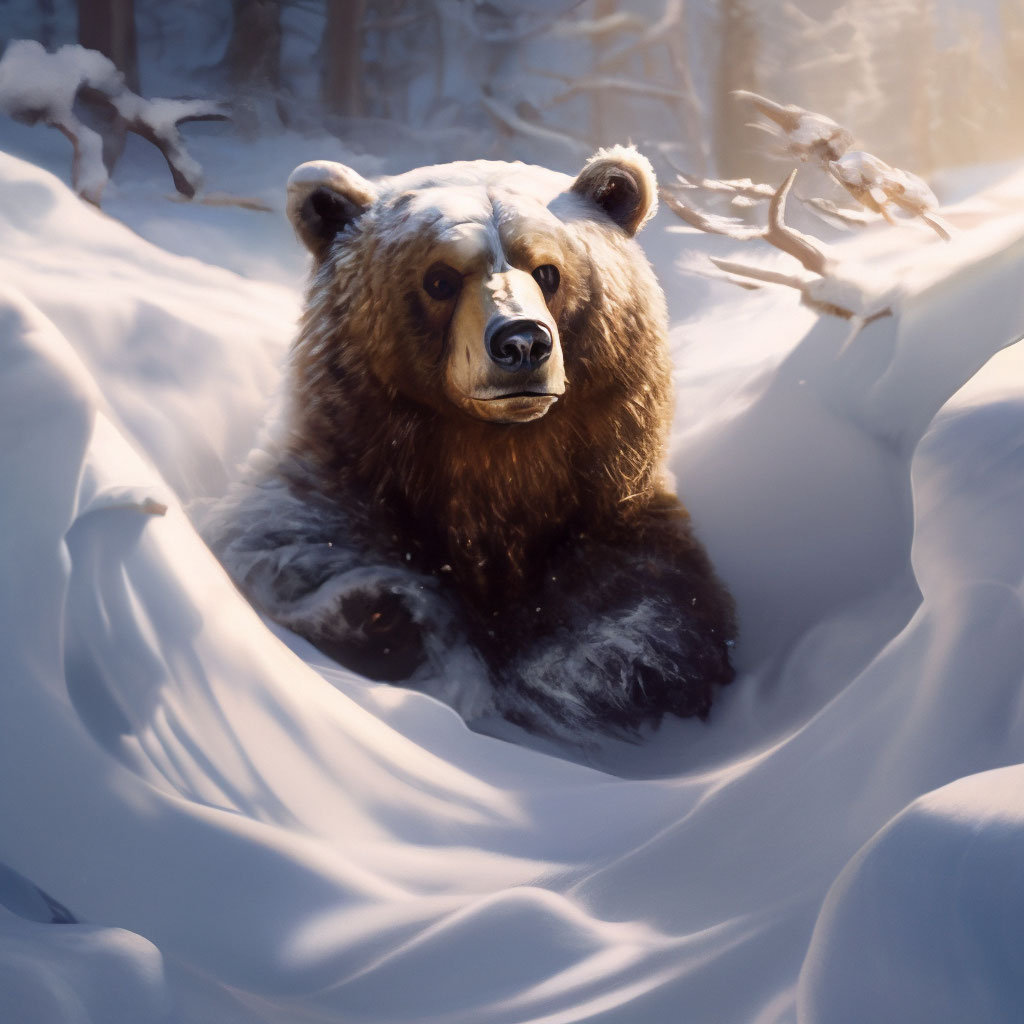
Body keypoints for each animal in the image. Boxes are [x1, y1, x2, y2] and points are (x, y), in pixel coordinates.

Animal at [203, 146, 736, 740]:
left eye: (547, 271)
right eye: (439, 279)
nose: (522, 342)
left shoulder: (606, 499)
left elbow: (648, 613)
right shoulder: (348, 463)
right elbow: (282, 541)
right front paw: (381, 613)